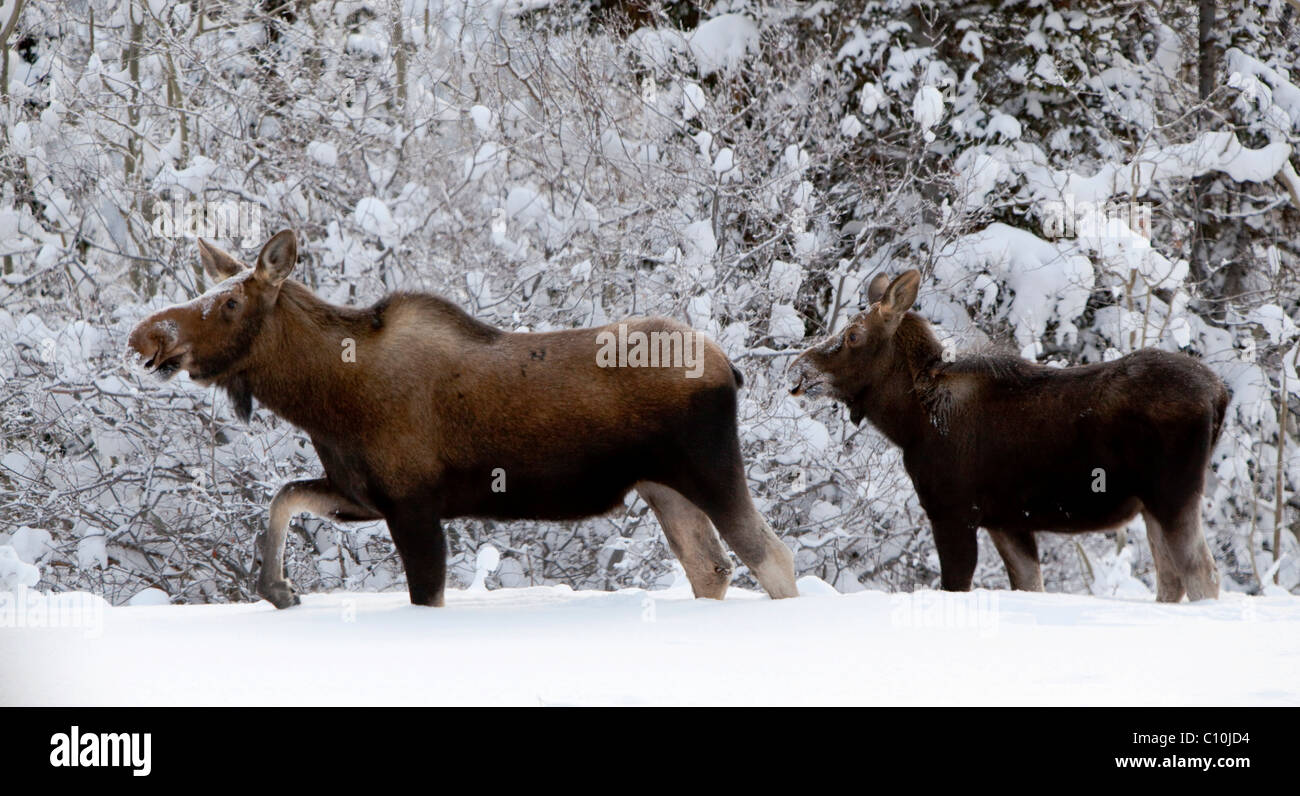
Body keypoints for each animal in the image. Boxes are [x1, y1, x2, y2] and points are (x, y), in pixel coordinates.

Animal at [127, 230, 797, 608]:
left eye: (230, 302)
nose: (145, 334)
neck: (321, 400)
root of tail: (731, 366)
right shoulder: (362, 494)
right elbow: (282, 496)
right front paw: (278, 589)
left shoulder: (414, 505)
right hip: (663, 486)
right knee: (711, 568)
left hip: (710, 469)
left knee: (772, 557)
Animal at [788, 269, 1226, 602]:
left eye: (853, 336)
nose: (796, 371)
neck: (908, 423)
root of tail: (1219, 393)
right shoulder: (1007, 522)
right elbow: (1031, 584)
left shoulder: (952, 511)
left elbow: (956, 584)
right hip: (1153, 504)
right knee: (1171, 579)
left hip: (1173, 494)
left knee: (1202, 573)